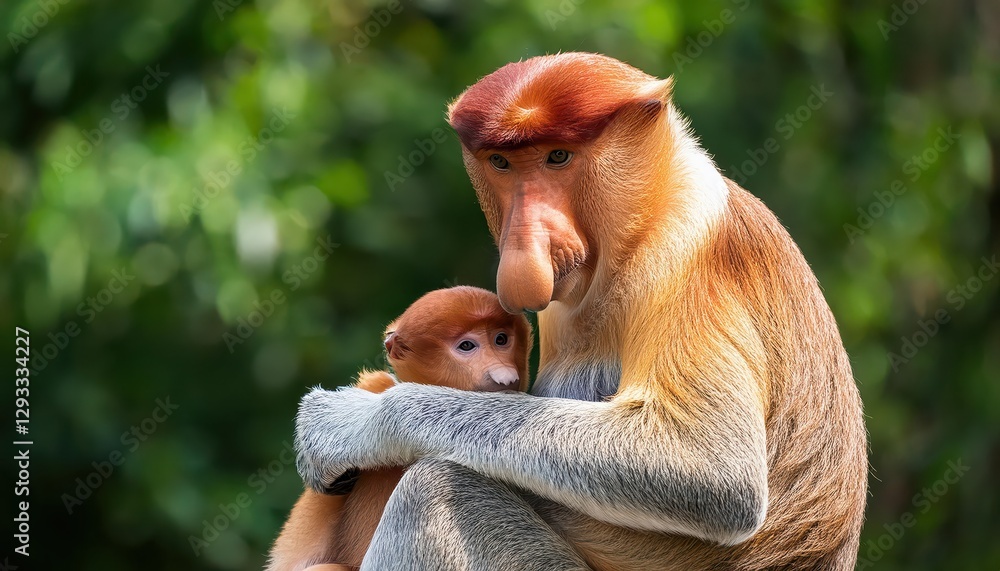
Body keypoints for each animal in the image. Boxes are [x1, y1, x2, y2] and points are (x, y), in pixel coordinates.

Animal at [294, 52, 867, 570]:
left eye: (557, 157)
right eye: (501, 163)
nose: (529, 238)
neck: (639, 223)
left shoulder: (686, 254)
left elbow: (711, 471)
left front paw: (347, 423)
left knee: (434, 490)